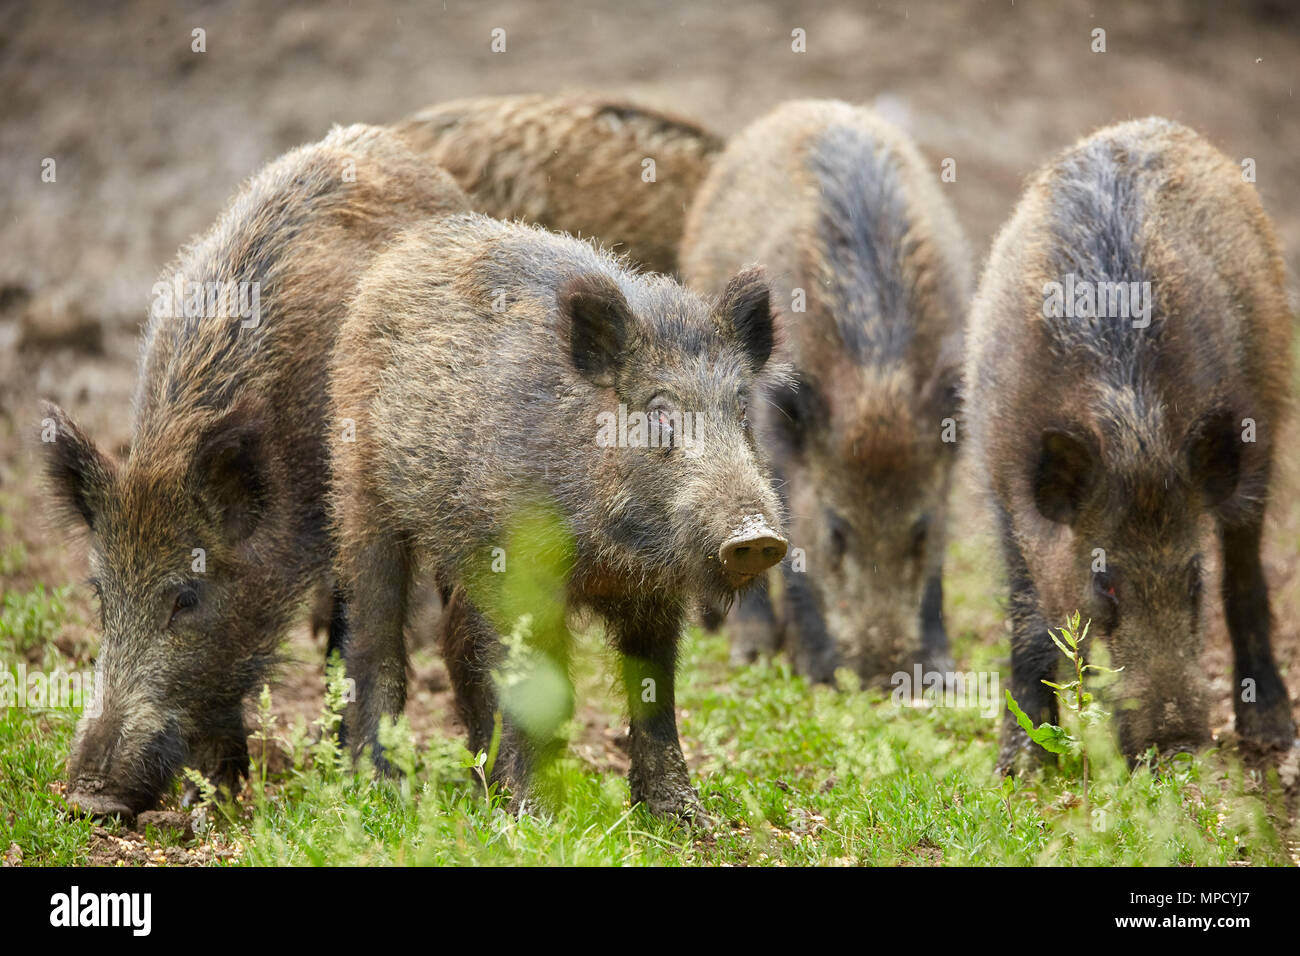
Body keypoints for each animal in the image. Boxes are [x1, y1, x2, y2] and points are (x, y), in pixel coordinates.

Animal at [330, 213, 787, 824]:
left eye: (741, 411)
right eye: (659, 412)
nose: (756, 535)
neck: (614, 555)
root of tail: (401, 250)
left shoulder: (656, 598)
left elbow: (656, 691)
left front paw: (686, 819)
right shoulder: (520, 573)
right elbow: (537, 686)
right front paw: (537, 818)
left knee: (457, 644)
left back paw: (480, 787)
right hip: (362, 496)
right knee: (375, 636)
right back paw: (384, 792)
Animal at [680, 100, 972, 685]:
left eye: (920, 532)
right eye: (837, 532)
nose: (882, 677)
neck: (876, 376)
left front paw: (943, 675)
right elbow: (787, 552)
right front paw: (815, 673)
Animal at [965, 117, 1297, 770]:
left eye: (1192, 579)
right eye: (1105, 582)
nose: (1177, 744)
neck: (1131, 429)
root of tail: (1157, 126)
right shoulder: (1000, 480)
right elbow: (1026, 615)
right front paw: (1022, 767)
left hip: (1262, 430)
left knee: (1246, 574)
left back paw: (1273, 732)